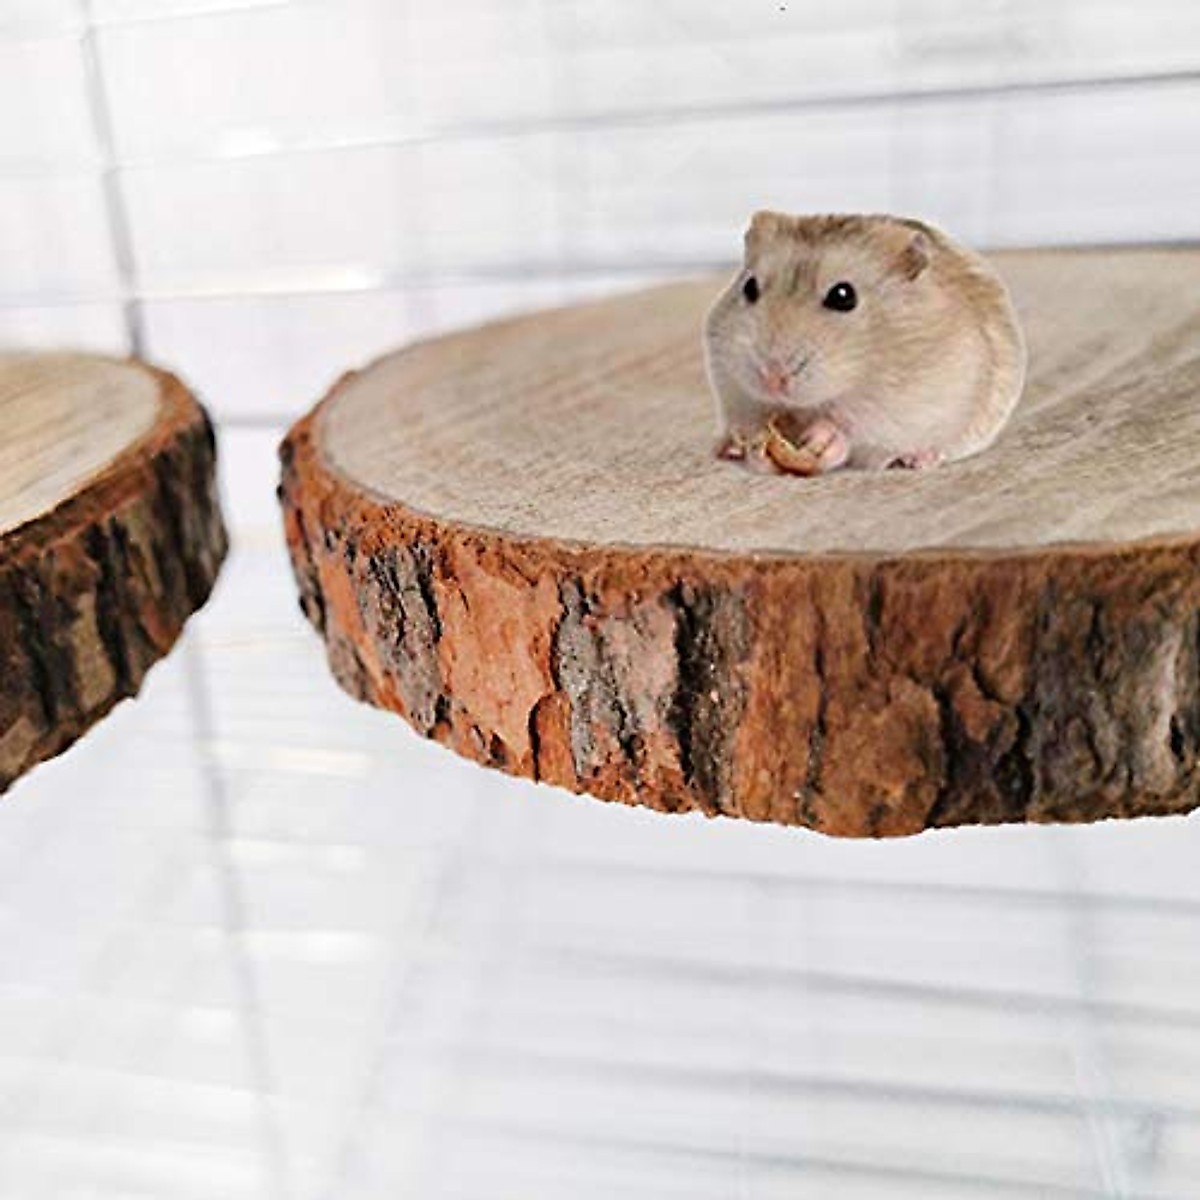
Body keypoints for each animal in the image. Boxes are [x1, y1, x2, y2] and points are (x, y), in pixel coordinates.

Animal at [703, 212, 1026, 475]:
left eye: (843, 296)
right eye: (749, 287)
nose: (772, 379)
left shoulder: (893, 405)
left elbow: (849, 431)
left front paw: (820, 437)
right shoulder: (734, 389)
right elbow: (752, 420)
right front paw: (756, 446)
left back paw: (918, 459)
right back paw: (724, 448)